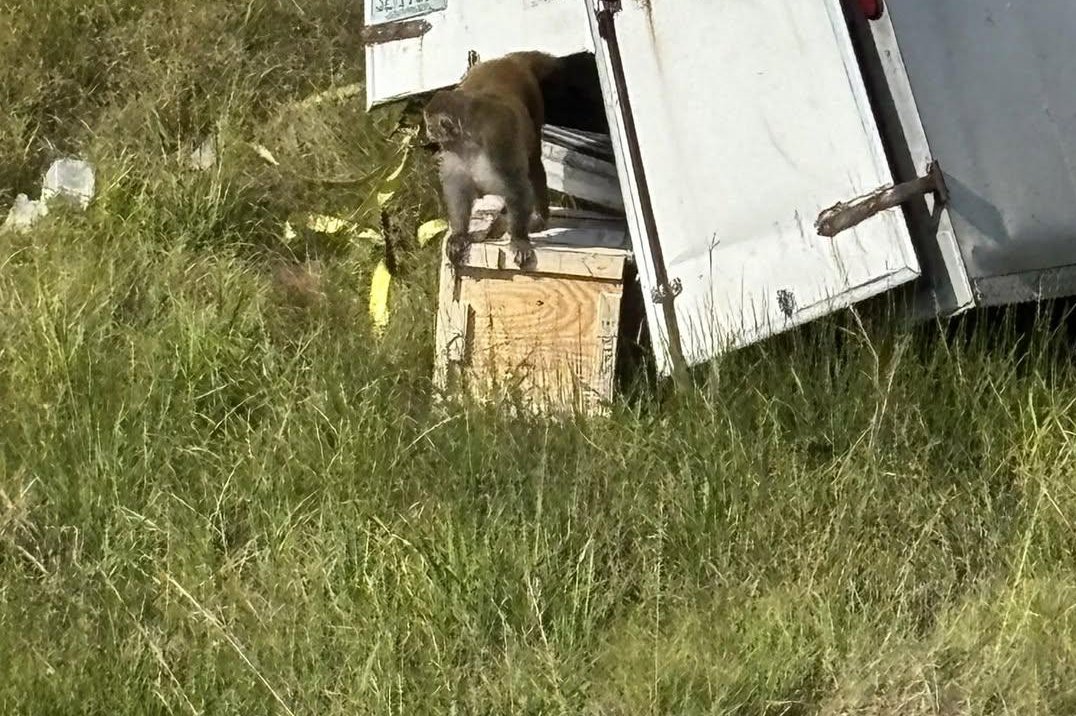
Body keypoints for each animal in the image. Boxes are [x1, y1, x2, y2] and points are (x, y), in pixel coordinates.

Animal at [423, 51, 560, 269]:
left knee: (533, 163)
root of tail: (508, 60)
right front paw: (459, 234)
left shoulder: (497, 139)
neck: (468, 139)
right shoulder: (453, 151)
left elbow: (516, 186)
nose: (428, 133)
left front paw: (519, 239)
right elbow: (458, 189)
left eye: (430, 126)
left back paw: (539, 216)